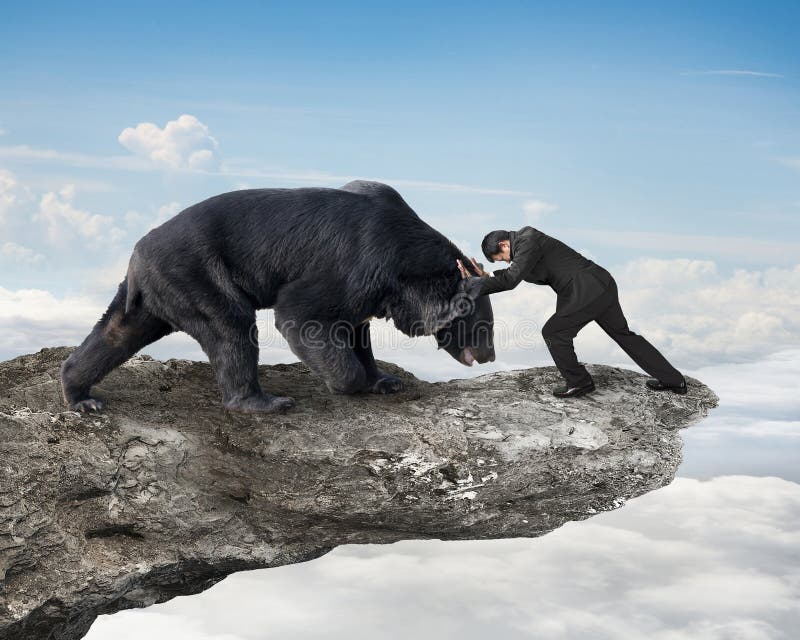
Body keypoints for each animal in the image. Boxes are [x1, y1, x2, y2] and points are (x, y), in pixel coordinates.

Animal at [60, 180, 495, 413]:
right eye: (481, 325)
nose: (490, 355)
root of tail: (136, 257)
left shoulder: (370, 289)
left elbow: (357, 330)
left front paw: (384, 381)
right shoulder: (352, 267)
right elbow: (301, 314)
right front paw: (345, 383)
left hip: (155, 293)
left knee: (118, 332)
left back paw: (81, 396)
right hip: (197, 273)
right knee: (231, 327)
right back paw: (263, 402)